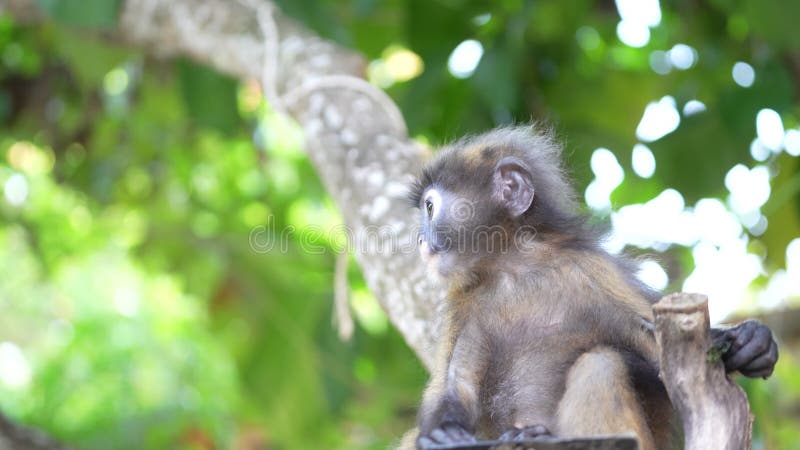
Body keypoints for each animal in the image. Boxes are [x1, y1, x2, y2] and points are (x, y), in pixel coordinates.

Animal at [398, 126, 779, 450]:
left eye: (430, 207)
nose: (420, 239)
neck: (515, 270)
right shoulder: (463, 303)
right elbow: (454, 388)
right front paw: (442, 432)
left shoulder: (591, 270)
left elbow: (658, 360)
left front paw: (750, 342)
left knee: (600, 366)